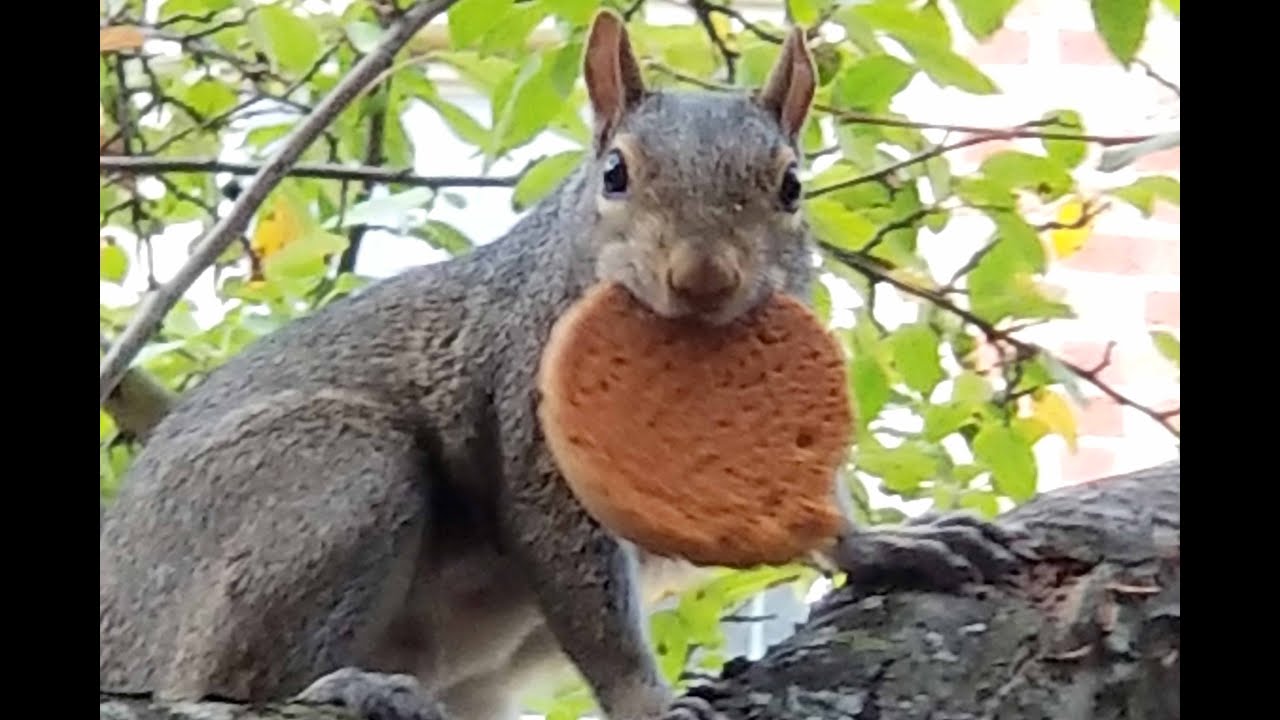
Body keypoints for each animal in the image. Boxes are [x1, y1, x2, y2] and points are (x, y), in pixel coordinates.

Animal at [100, 11, 1024, 720]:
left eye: (792, 186)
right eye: (614, 174)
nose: (703, 277)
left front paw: (888, 544)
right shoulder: (534, 427)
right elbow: (587, 599)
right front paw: (652, 703)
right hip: (328, 469)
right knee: (212, 682)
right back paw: (343, 687)